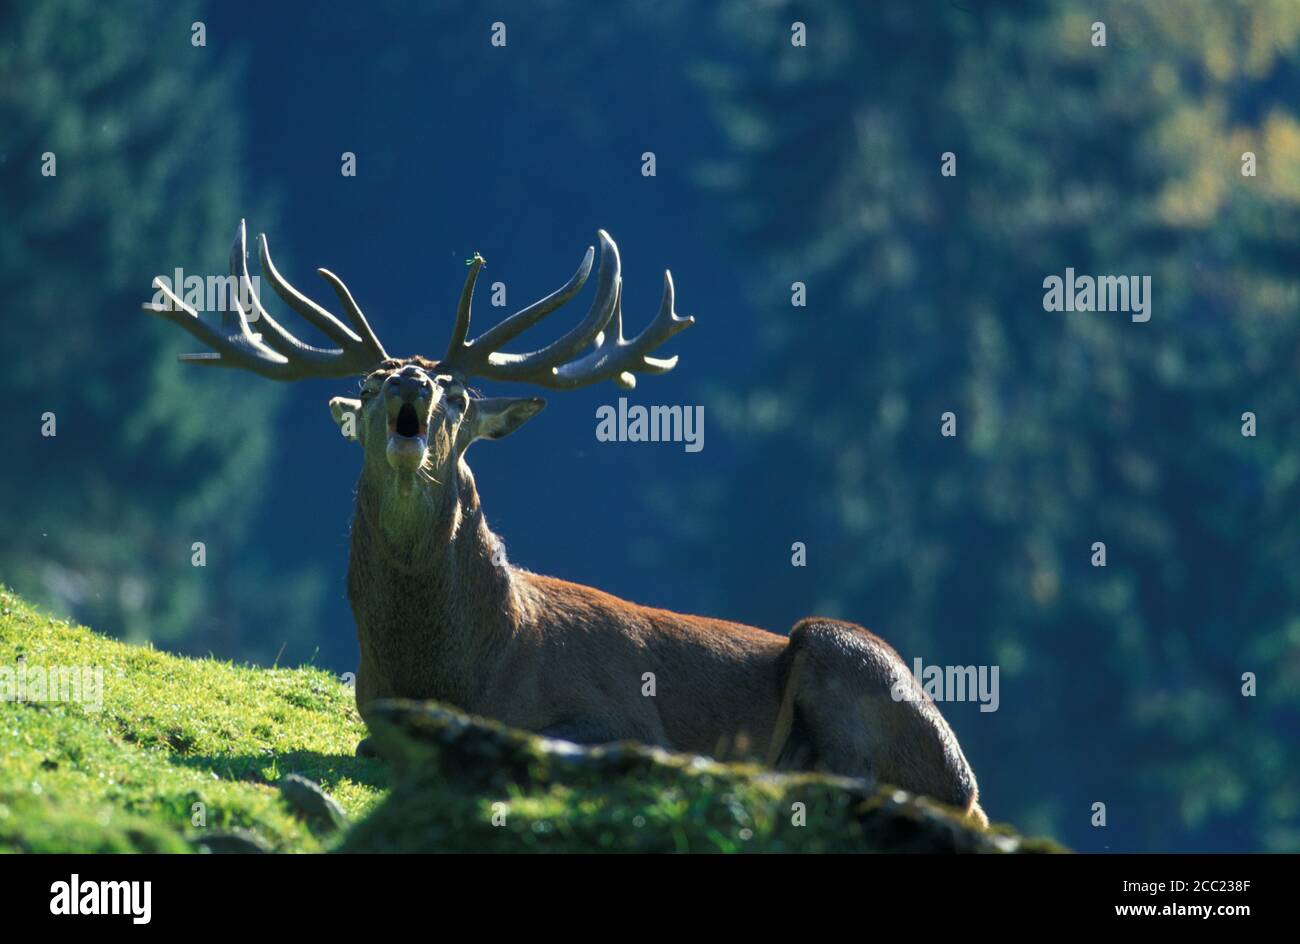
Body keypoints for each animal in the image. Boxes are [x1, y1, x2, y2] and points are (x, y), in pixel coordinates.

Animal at [143, 221, 988, 826]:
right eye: (373, 382)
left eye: (459, 395)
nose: (413, 380)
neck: (461, 670)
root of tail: (969, 784)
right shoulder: (372, 713)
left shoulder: (627, 719)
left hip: (845, 649)